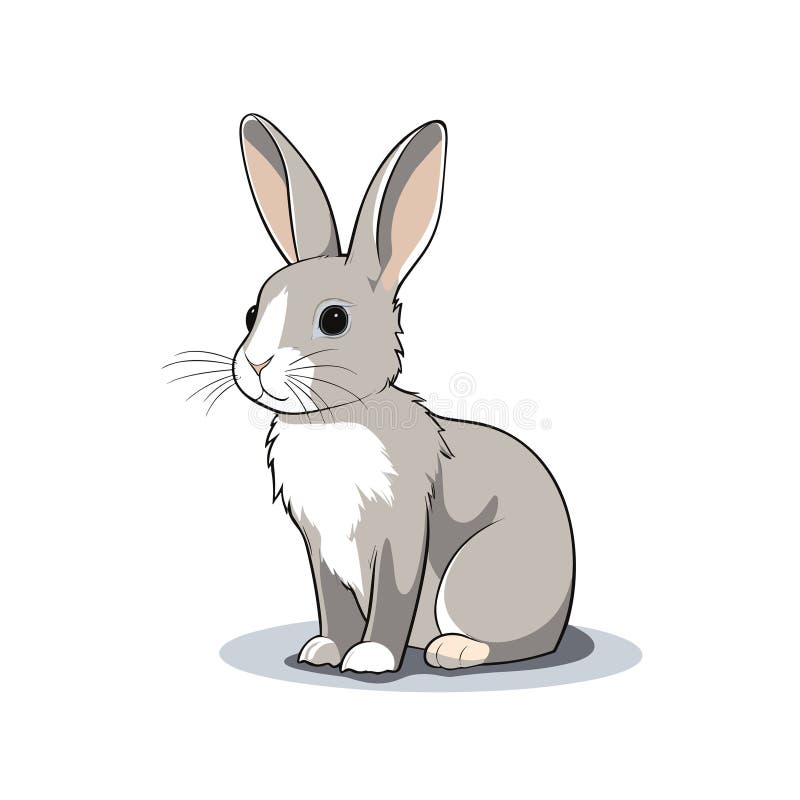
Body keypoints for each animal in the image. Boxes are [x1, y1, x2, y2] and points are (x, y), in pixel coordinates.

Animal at [228, 114, 575, 674]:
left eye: (334, 319)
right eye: (251, 314)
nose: (256, 364)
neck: (333, 418)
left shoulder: (403, 532)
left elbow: (392, 598)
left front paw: (370, 657)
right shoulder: (320, 545)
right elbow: (332, 603)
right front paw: (325, 650)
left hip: (475, 577)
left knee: (514, 644)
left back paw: (453, 649)